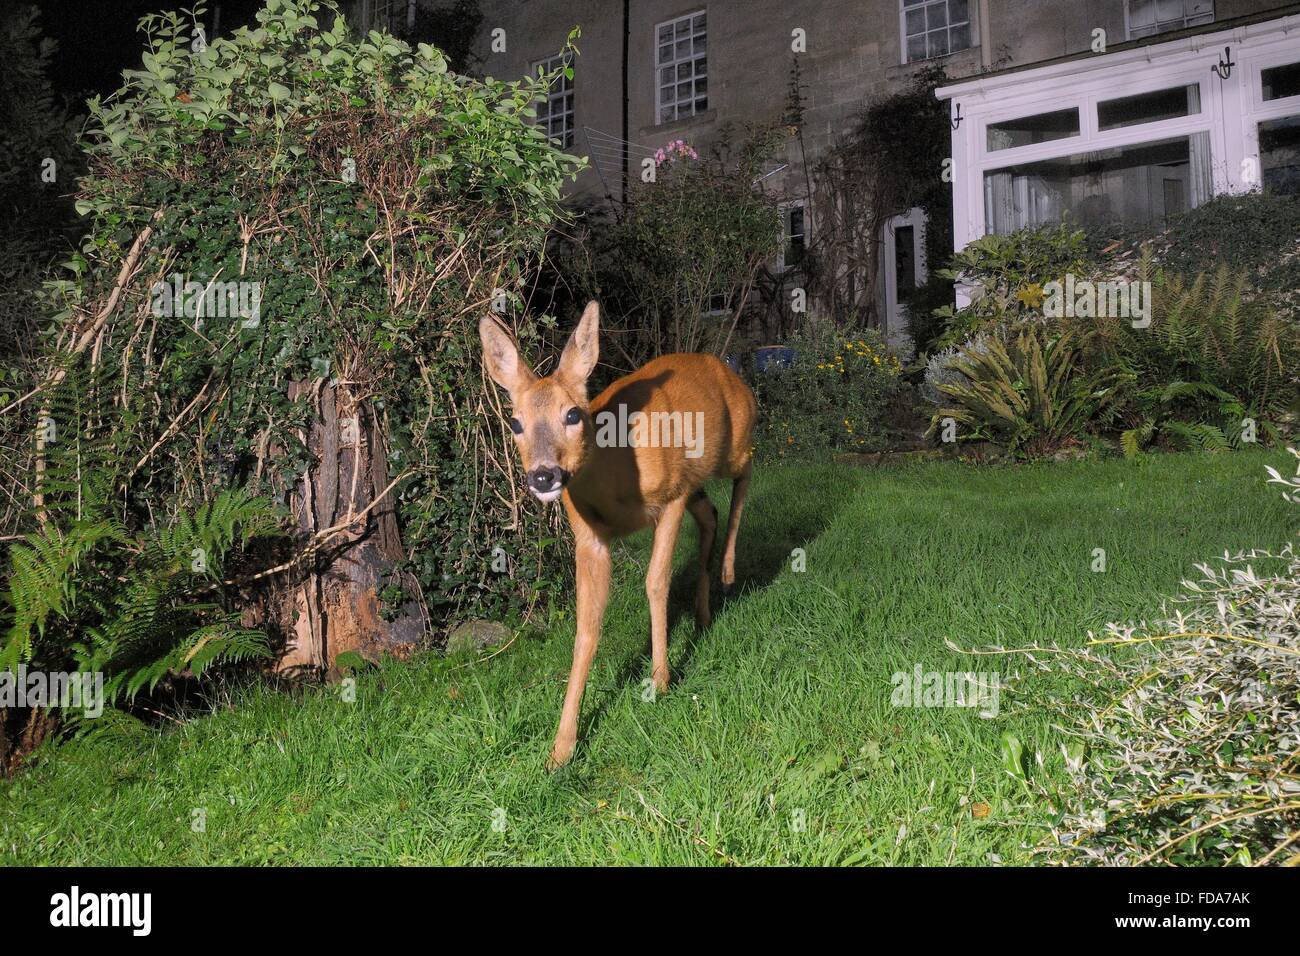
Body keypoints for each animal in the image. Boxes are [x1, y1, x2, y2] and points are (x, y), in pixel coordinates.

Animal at [479, 301, 756, 770]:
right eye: (515, 422)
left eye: (573, 414)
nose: (543, 475)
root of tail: (725, 368)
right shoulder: (589, 536)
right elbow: (586, 627)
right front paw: (561, 748)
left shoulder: (670, 495)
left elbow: (656, 582)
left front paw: (660, 679)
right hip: (698, 483)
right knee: (711, 513)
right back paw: (704, 612)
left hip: (732, 447)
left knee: (746, 473)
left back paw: (729, 570)